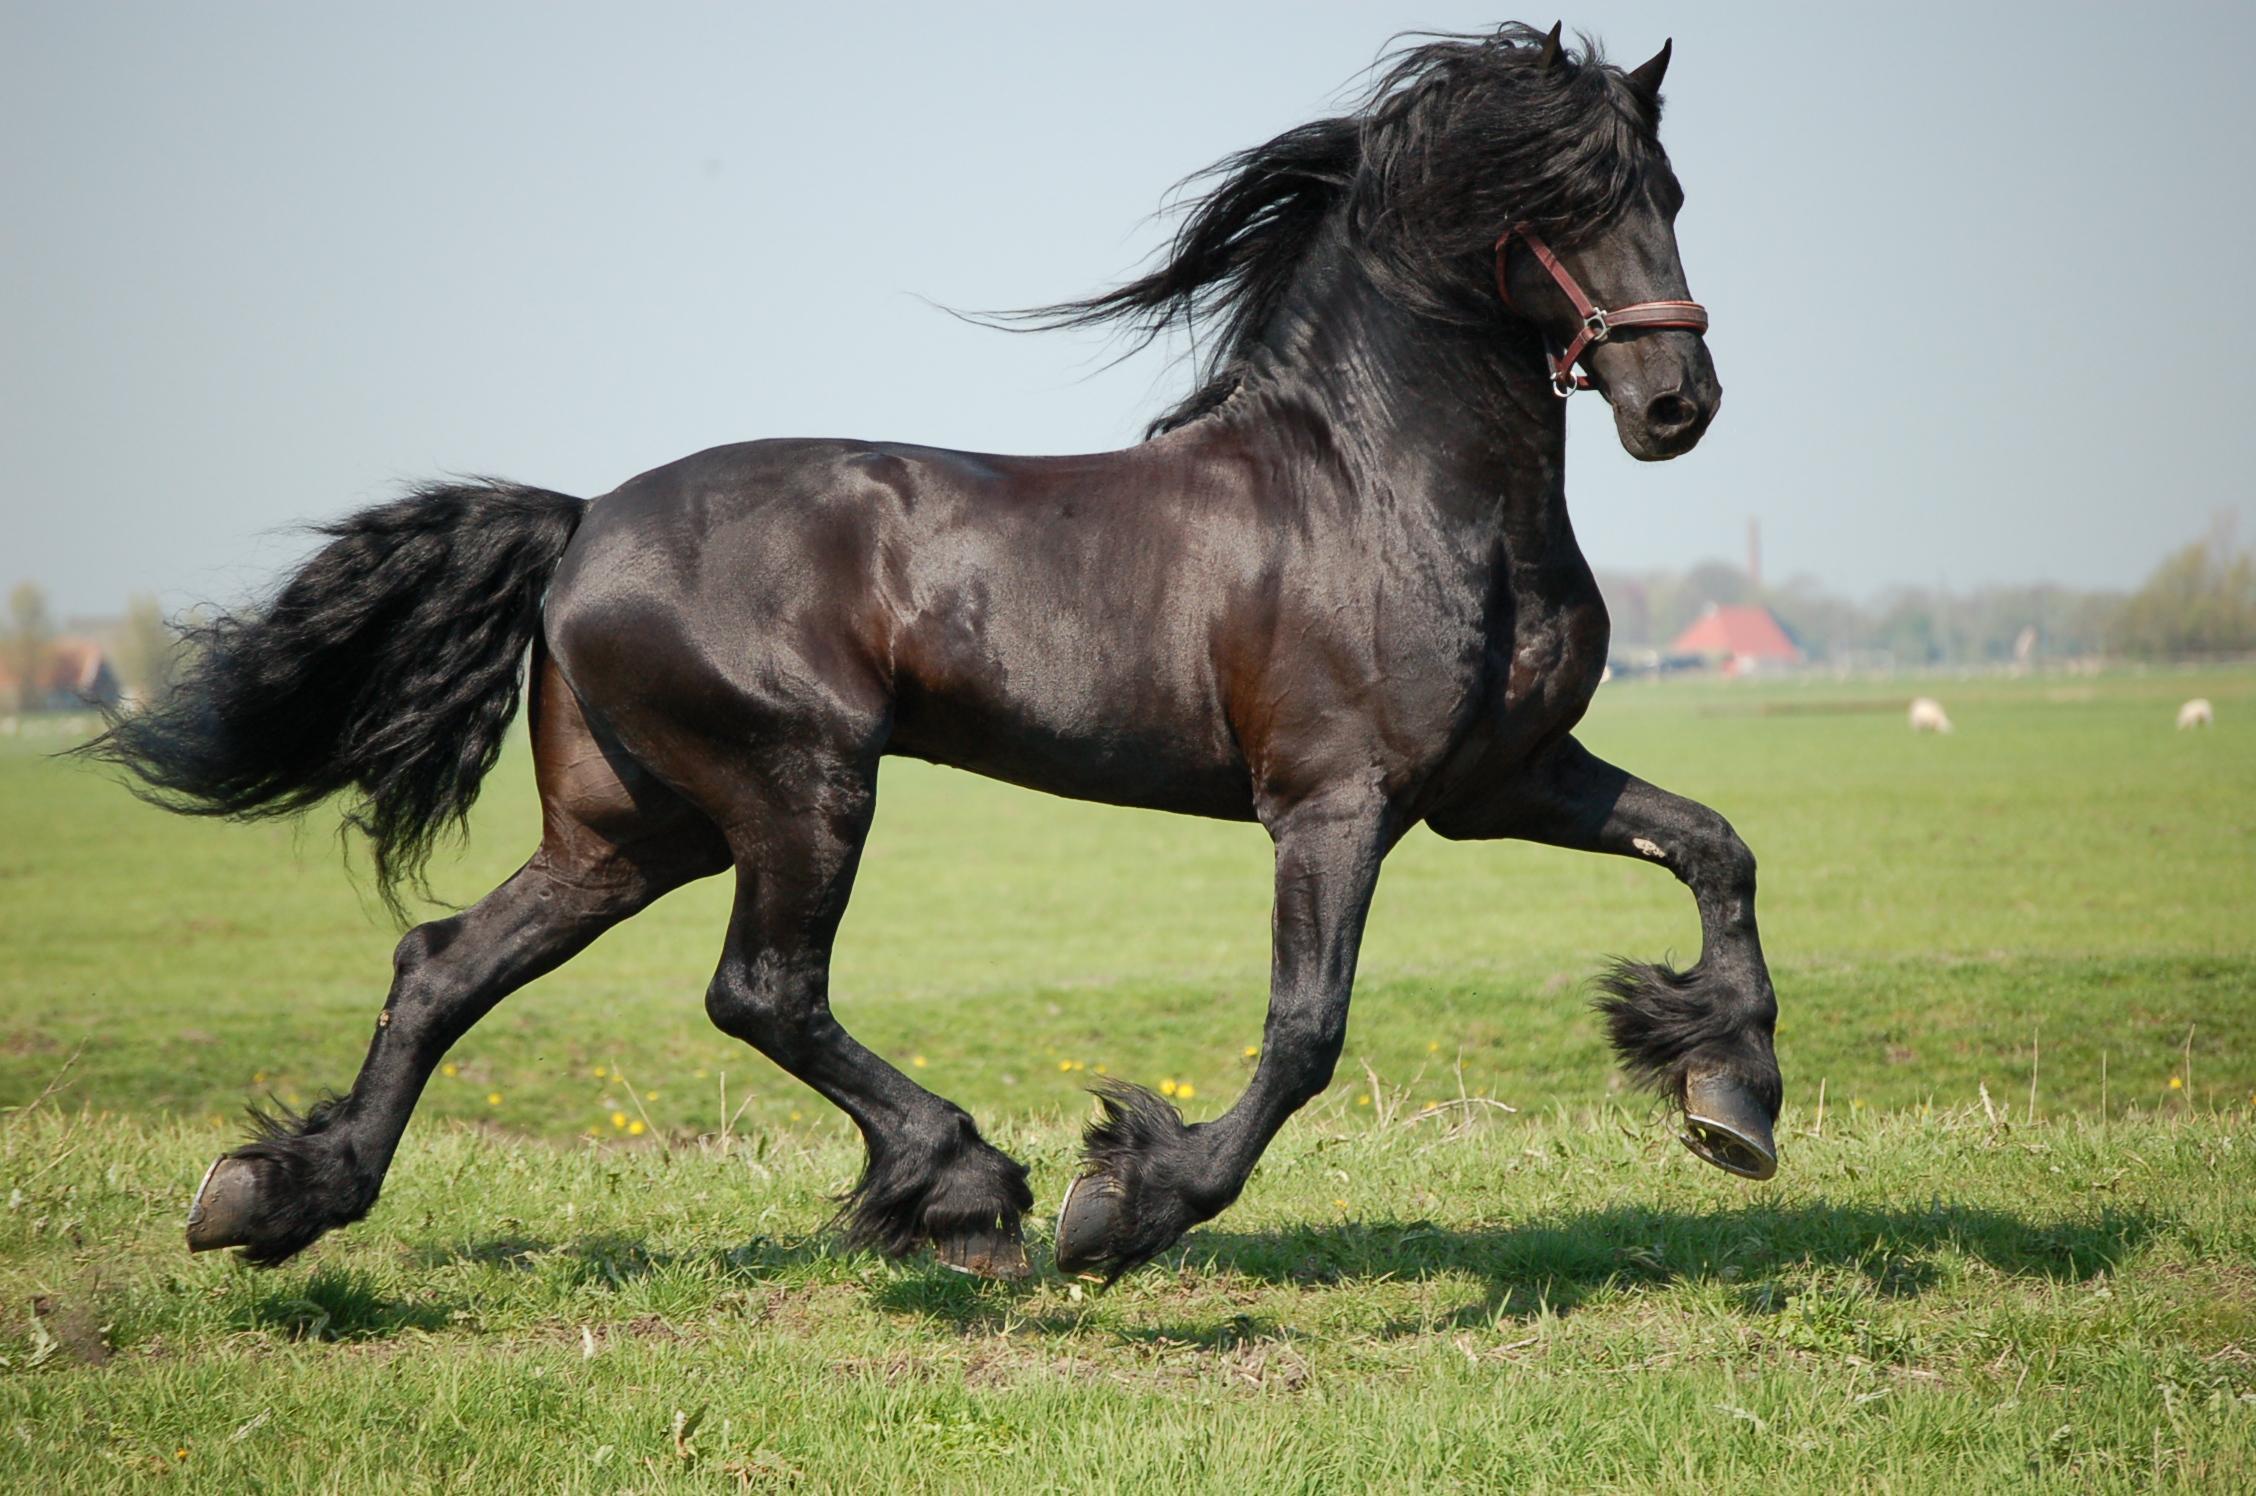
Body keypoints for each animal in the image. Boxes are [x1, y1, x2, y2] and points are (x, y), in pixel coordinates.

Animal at [84, 23, 1781, 1283]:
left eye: (1670, 187)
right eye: (1552, 200)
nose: (1675, 404)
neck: (1382, 485)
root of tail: (579, 525)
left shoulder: (1503, 780)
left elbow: (1716, 847)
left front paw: (1731, 1095)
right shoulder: (1335, 801)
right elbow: (1306, 1031)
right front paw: (1127, 1205)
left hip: (635, 827)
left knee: (446, 967)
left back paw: (275, 1196)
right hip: (799, 788)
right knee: (760, 992)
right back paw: (967, 1188)